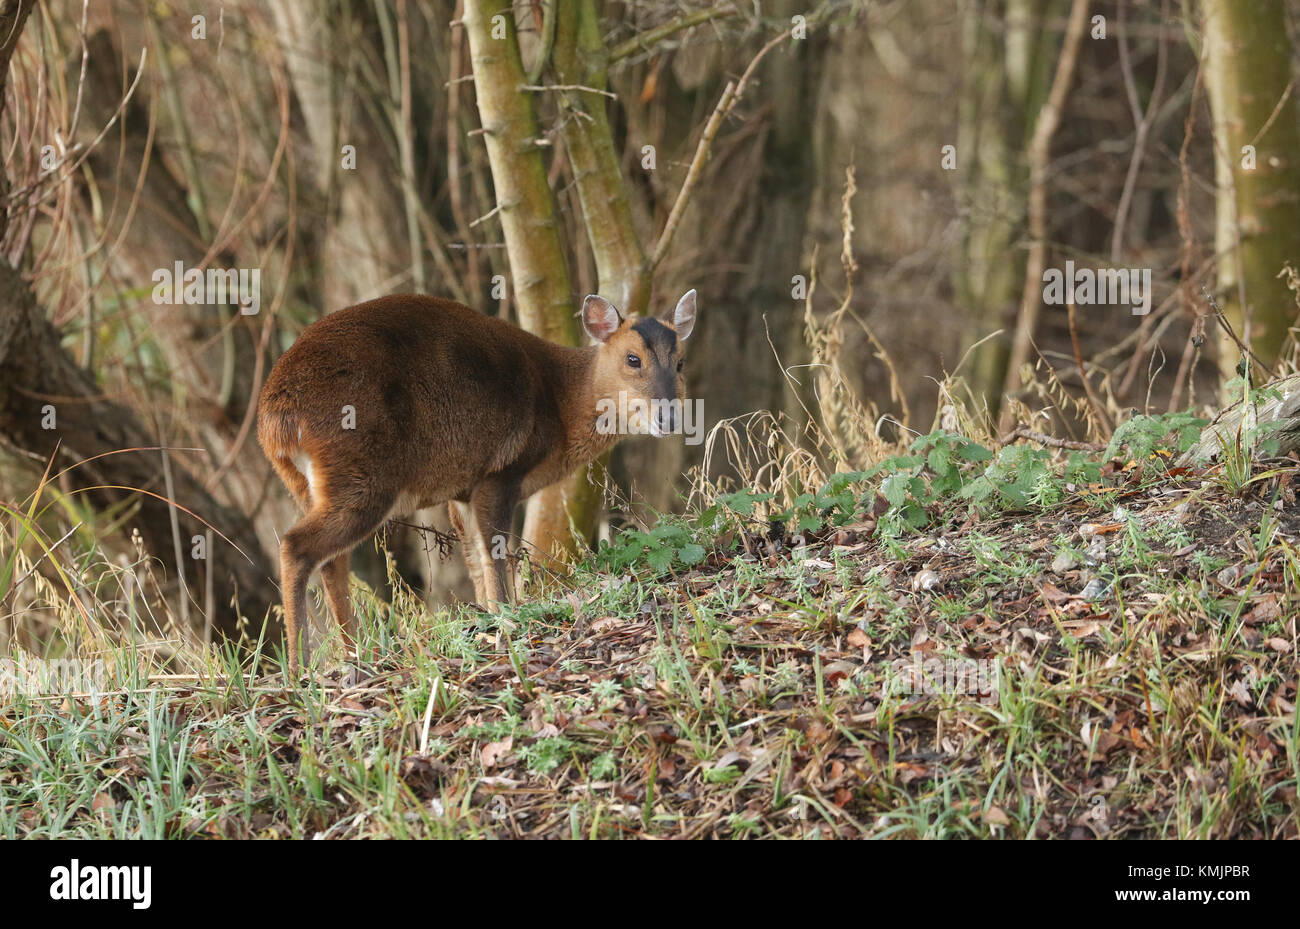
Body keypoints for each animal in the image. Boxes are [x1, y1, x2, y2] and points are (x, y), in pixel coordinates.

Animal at [256, 289, 698, 677]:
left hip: (307, 483)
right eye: (632, 358)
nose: (670, 417)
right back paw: (300, 668)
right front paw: (507, 617)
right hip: (361, 474)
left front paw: (486, 616)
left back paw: (353, 652)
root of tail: (277, 420)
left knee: (332, 560)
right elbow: (495, 553)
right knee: (297, 546)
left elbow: (475, 559)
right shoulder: (500, 472)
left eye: (680, 363)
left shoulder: (462, 490)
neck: (561, 403)